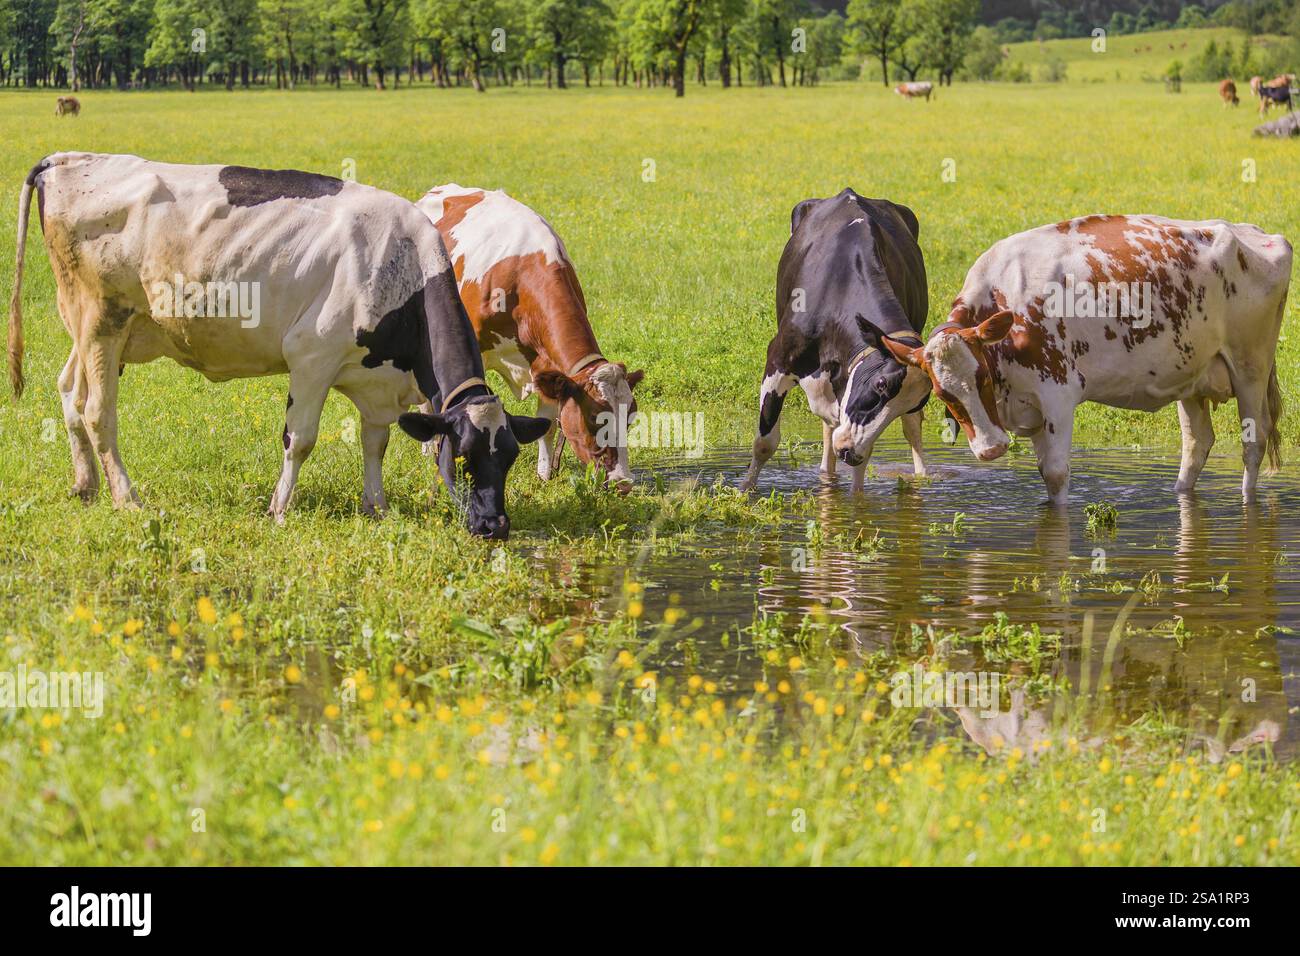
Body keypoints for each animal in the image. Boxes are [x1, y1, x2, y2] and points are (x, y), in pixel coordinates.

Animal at [7, 152, 550, 539]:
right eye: (463, 455)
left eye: (509, 456)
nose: (495, 526)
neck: (402, 269)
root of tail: (69, 159)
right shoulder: (312, 357)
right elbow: (300, 439)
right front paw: (280, 510)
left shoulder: (377, 380)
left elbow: (375, 441)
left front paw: (377, 508)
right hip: (103, 321)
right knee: (98, 411)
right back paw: (126, 497)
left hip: (93, 330)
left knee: (70, 393)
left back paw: (86, 485)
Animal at [414, 184, 642, 490]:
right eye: (596, 418)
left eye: (630, 417)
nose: (623, 482)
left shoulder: (548, 367)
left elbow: (547, 424)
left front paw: (545, 475)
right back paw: (428, 448)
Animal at [740, 188, 930, 493]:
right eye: (880, 384)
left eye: (912, 402)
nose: (850, 452)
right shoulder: (777, 360)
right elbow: (764, 443)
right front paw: (745, 491)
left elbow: (863, 461)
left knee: (909, 429)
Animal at [880, 215, 1291, 505]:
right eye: (942, 393)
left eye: (981, 377)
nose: (990, 449)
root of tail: (1255, 233)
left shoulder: (1058, 395)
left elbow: (1056, 473)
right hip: (1192, 374)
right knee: (1197, 444)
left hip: (1250, 368)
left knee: (1254, 441)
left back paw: (1246, 501)